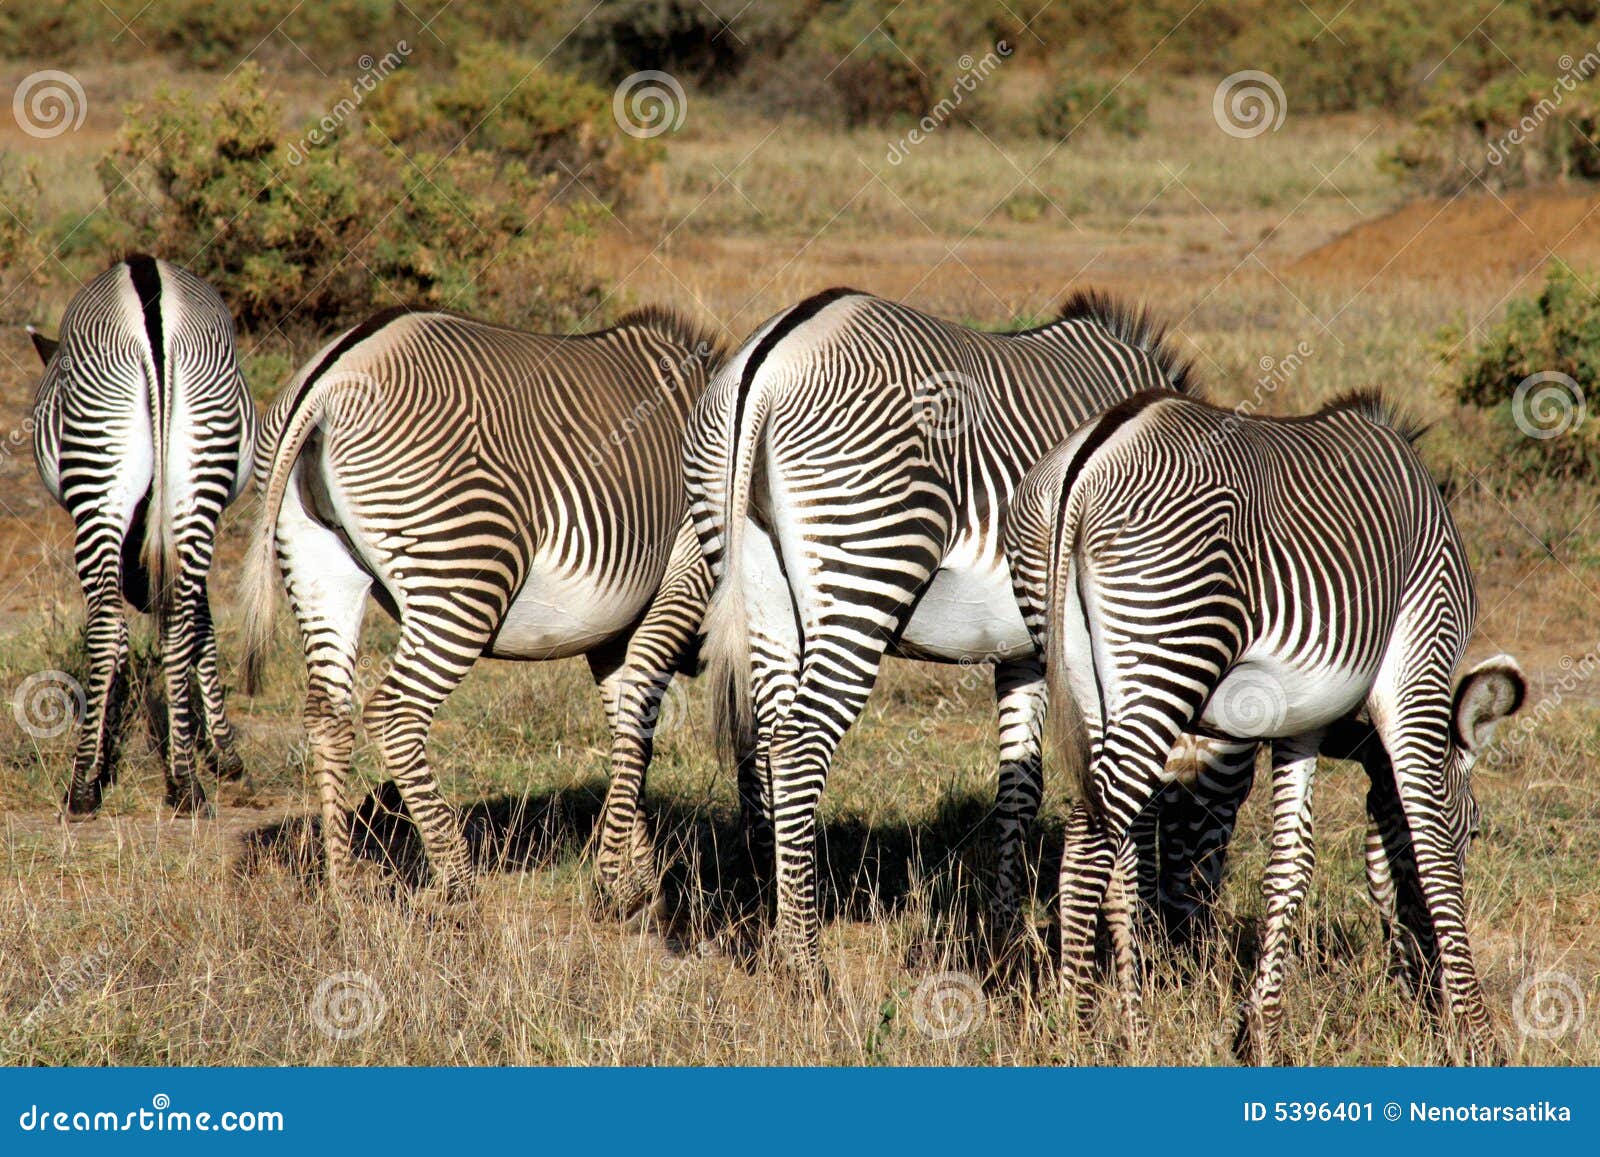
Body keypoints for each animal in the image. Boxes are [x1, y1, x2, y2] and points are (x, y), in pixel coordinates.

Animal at [29, 255, 257, 817]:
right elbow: (198, 624)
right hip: (195, 476)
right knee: (177, 624)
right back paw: (185, 783)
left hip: (99, 475)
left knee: (107, 623)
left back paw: (83, 786)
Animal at [238, 306, 722, 913]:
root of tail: (330, 377)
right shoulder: (680, 579)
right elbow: (637, 724)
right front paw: (622, 882)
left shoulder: (615, 628)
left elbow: (629, 731)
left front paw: (639, 877)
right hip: (463, 569)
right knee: (395, 712)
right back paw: (456, 883)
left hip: (316, 562)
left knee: (327, 713)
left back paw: (344, 886)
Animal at [684, 286, 1258, 981]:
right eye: (1228, 795)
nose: (1188, 944)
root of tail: (771, 360)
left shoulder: (1023, 652)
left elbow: (1019, 785)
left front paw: (1006, 939)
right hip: (865, 562)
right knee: (799, 744)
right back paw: (807, 965)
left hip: (754, 573)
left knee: (763, 742)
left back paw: (771, 923)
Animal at [1003, 387, 1525, 1063]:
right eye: (1476, 831)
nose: (1419, 987)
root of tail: (1093, 455)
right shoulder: (1419, 664)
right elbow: (1429, 846)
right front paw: (1477, 1033)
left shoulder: (1300, 722)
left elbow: (1291, 863)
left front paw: (1262, 1031)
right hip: (1169, 649)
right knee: (1090, 843)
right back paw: (1077, 1027)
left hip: (1080, 665)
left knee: (1113, 846)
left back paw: (1132, 1029)